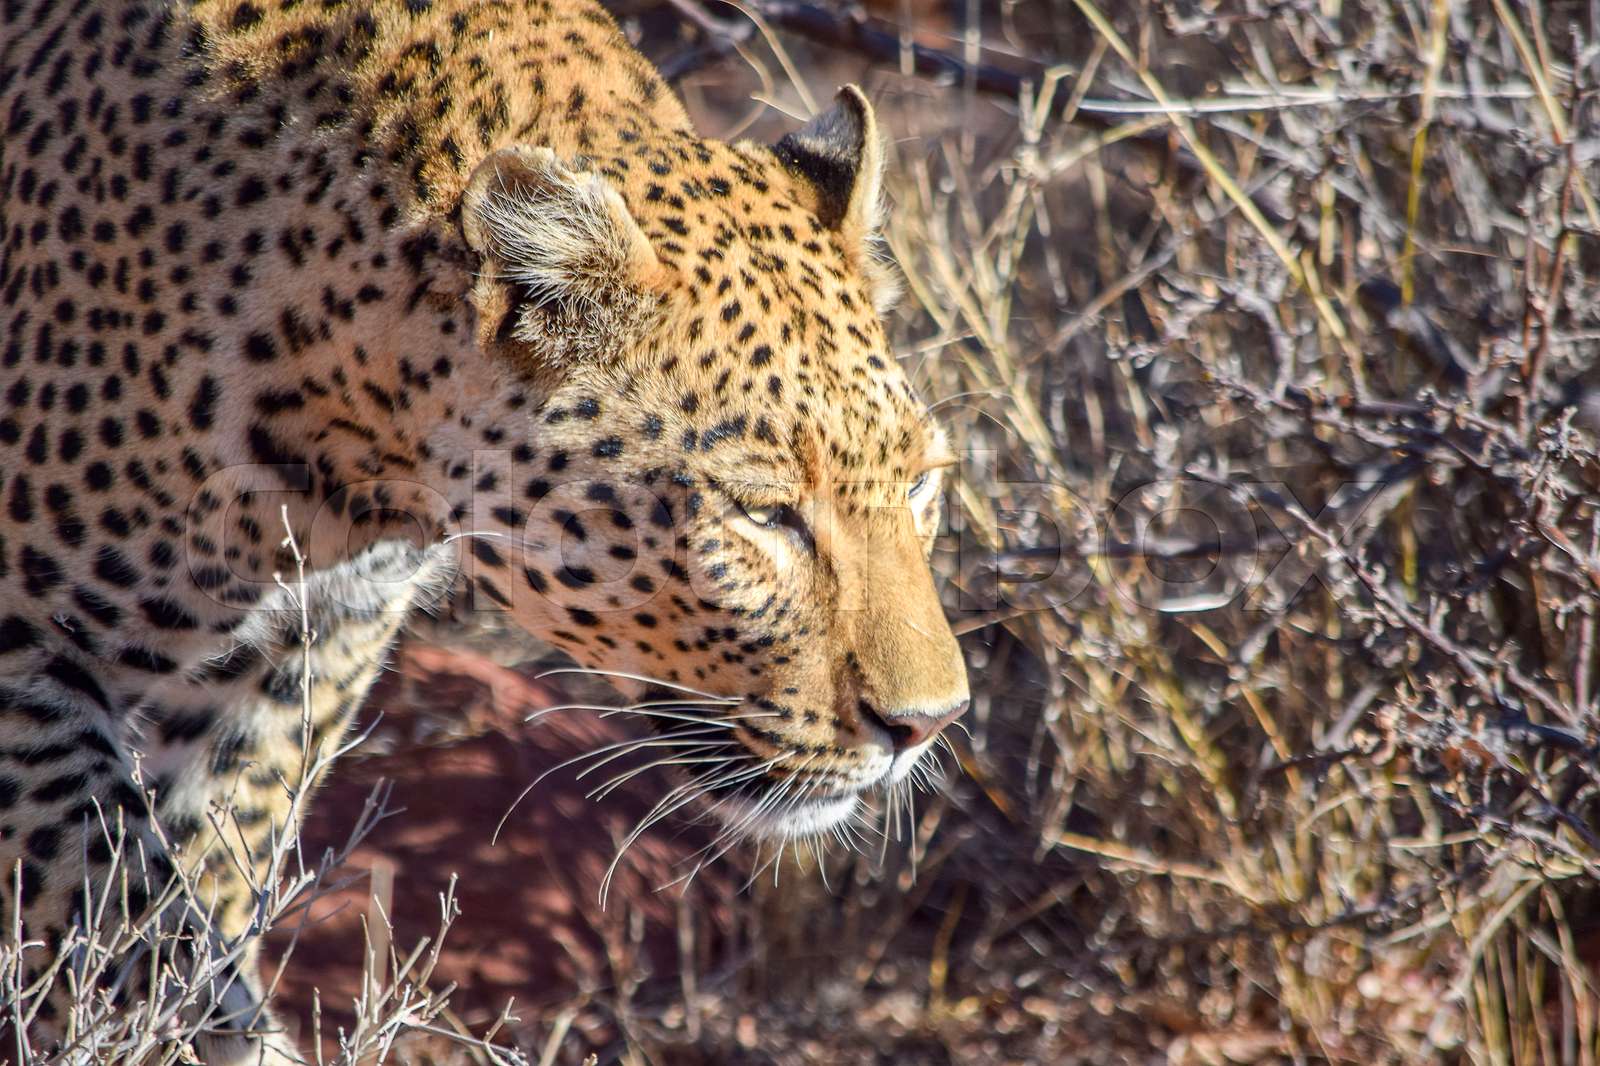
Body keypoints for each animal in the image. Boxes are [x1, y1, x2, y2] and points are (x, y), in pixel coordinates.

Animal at [0, 0, 969, 1058]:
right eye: (765, 514)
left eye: (921, 484)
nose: (929, 724)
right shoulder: (28, 664)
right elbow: (113, 917)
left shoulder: (300, 652)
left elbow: (207, 868)